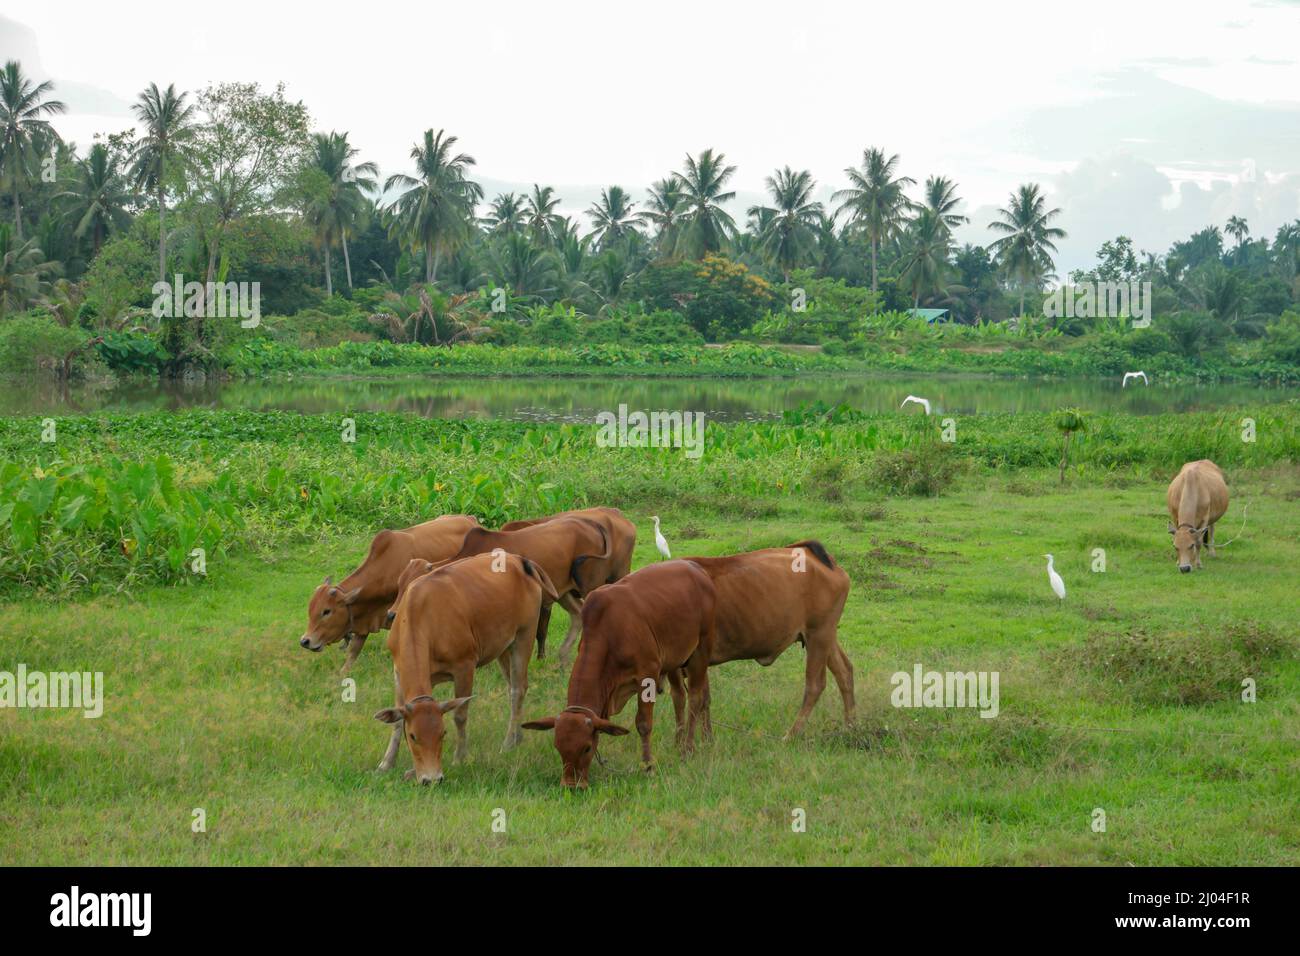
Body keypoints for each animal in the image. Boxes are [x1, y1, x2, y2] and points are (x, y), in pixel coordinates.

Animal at [299, 514, 478, 673]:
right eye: (310, 610)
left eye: (326, 611)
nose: (305, 641)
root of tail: (469, 518)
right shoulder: (364, 620)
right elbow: (353, 653)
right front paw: (342, 674)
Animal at [373, 552, 559, 783]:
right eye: (413, 736)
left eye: (442, 733)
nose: (432, 779)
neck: (419, 616)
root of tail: (519, 560)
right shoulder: (398, 672)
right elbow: (397, 723)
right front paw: (387, 763)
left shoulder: (465, 666)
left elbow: (460, 715)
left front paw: (459, 757)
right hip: (502, 646)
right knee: (516, 687)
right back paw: (517, 737)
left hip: (524, 634)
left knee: (517, 689)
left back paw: (507, 743)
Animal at [450, 516, 610, 662]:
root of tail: (591, 523)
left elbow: (538, 633)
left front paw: (540, 658)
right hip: (564, 592)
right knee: (578, 612)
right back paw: (564, 654)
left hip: (590, 585)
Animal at [523, 560, 715, 788]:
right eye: (558, 747)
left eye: (587, 747)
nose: (571, 785)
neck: (608, 631)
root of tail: (695, 566)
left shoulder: (647, 675)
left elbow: (643, 724)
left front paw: (647, 766)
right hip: (676, 660)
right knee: (683, 697)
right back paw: (685, 743)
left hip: (700, 652)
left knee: (696, 699)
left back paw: (689, 748)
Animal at [681, 541, 853, 738]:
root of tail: (825, 562)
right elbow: (705, 700)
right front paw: (708, 739)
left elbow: (696, 700)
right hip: (825, 636)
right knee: (845, 672)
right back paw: (851, 727)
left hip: (819, 635)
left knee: (815, 685)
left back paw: (791, 736)